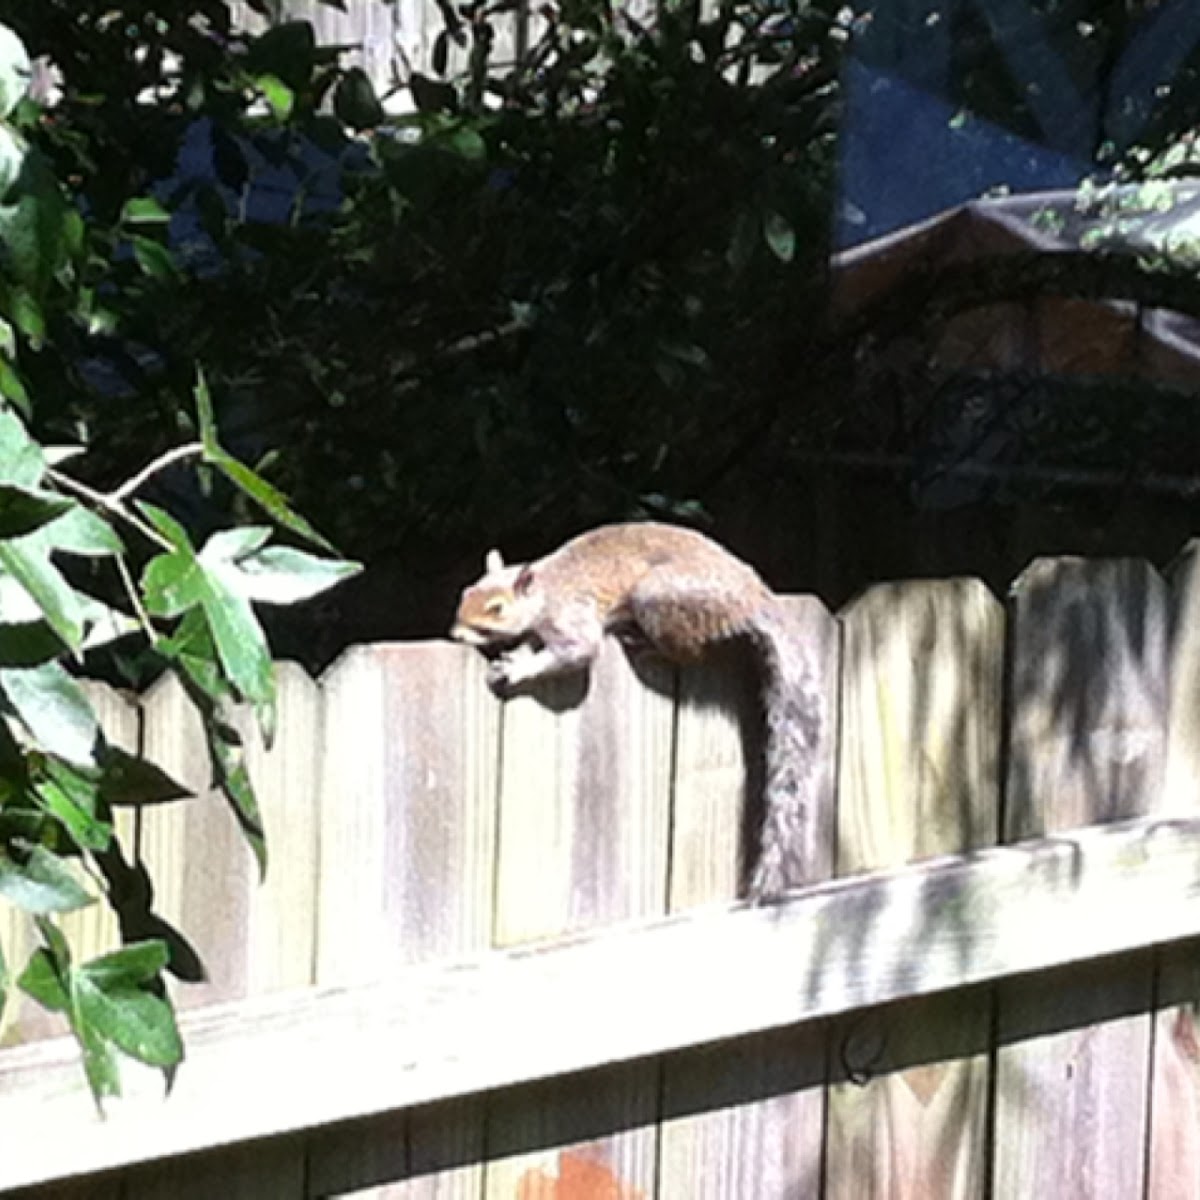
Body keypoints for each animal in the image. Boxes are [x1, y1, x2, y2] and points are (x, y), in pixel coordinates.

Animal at [450, 522, 820, 901]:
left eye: (497, 608)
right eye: (466, 592)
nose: (456, 634)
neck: (545, 590)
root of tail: (754, 598)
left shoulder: (571, 615)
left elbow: (578, 651)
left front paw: (518, 669)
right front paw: (518, 654)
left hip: (657, 598)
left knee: (691, 653)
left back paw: (647, 646)